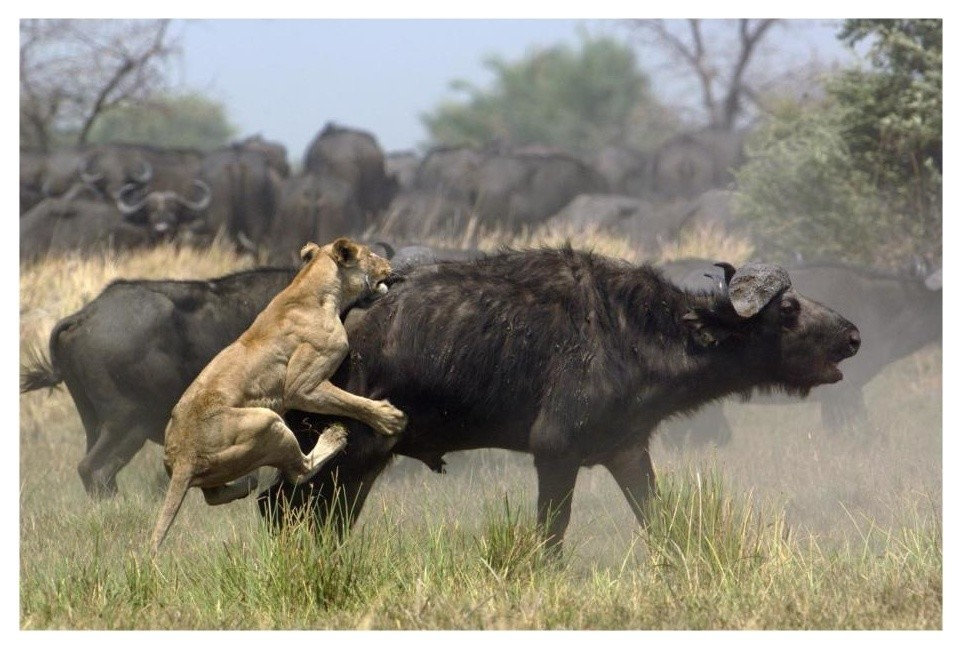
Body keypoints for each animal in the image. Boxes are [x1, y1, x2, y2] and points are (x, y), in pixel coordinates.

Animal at [150, 238, 407, 552]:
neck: (312, 289)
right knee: (299, 470)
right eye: (371, 254)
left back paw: (246, 484)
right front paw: (388, 418)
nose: (390, 266)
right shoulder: (303, 385)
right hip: (267, 421)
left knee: (212, 495)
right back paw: (333, 437)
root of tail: (183, 456)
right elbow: (350, 402)